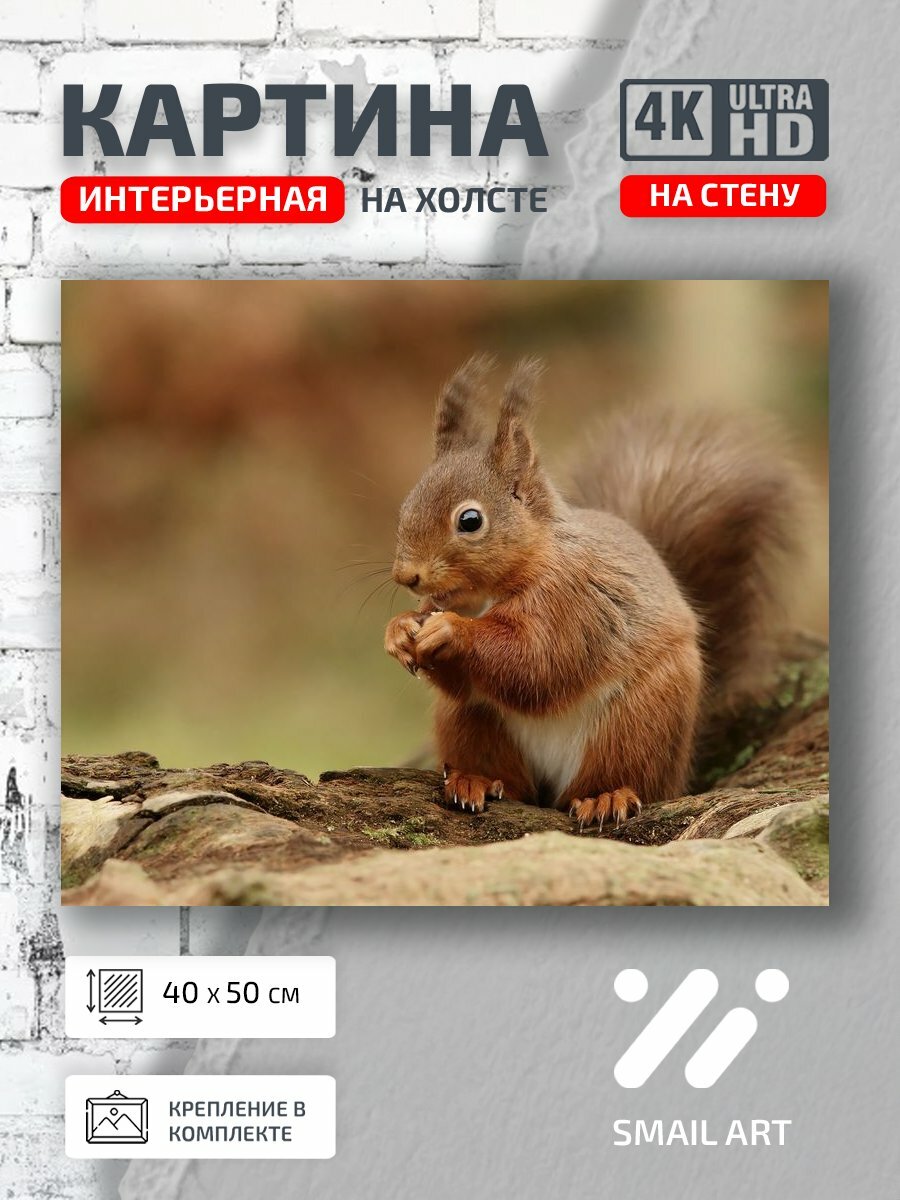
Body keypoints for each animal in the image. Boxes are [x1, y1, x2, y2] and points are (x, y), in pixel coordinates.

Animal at [384, 356, 809, 828]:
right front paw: (399, 630)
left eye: (470, 520)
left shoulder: (572, 601)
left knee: (616, 776)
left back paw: (605, 797)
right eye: (407, 504)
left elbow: (536, 660)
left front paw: (451, 632)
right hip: (470, 724)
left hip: (637, 722)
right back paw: (473, 780)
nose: (406, 576)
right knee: (508, 780)